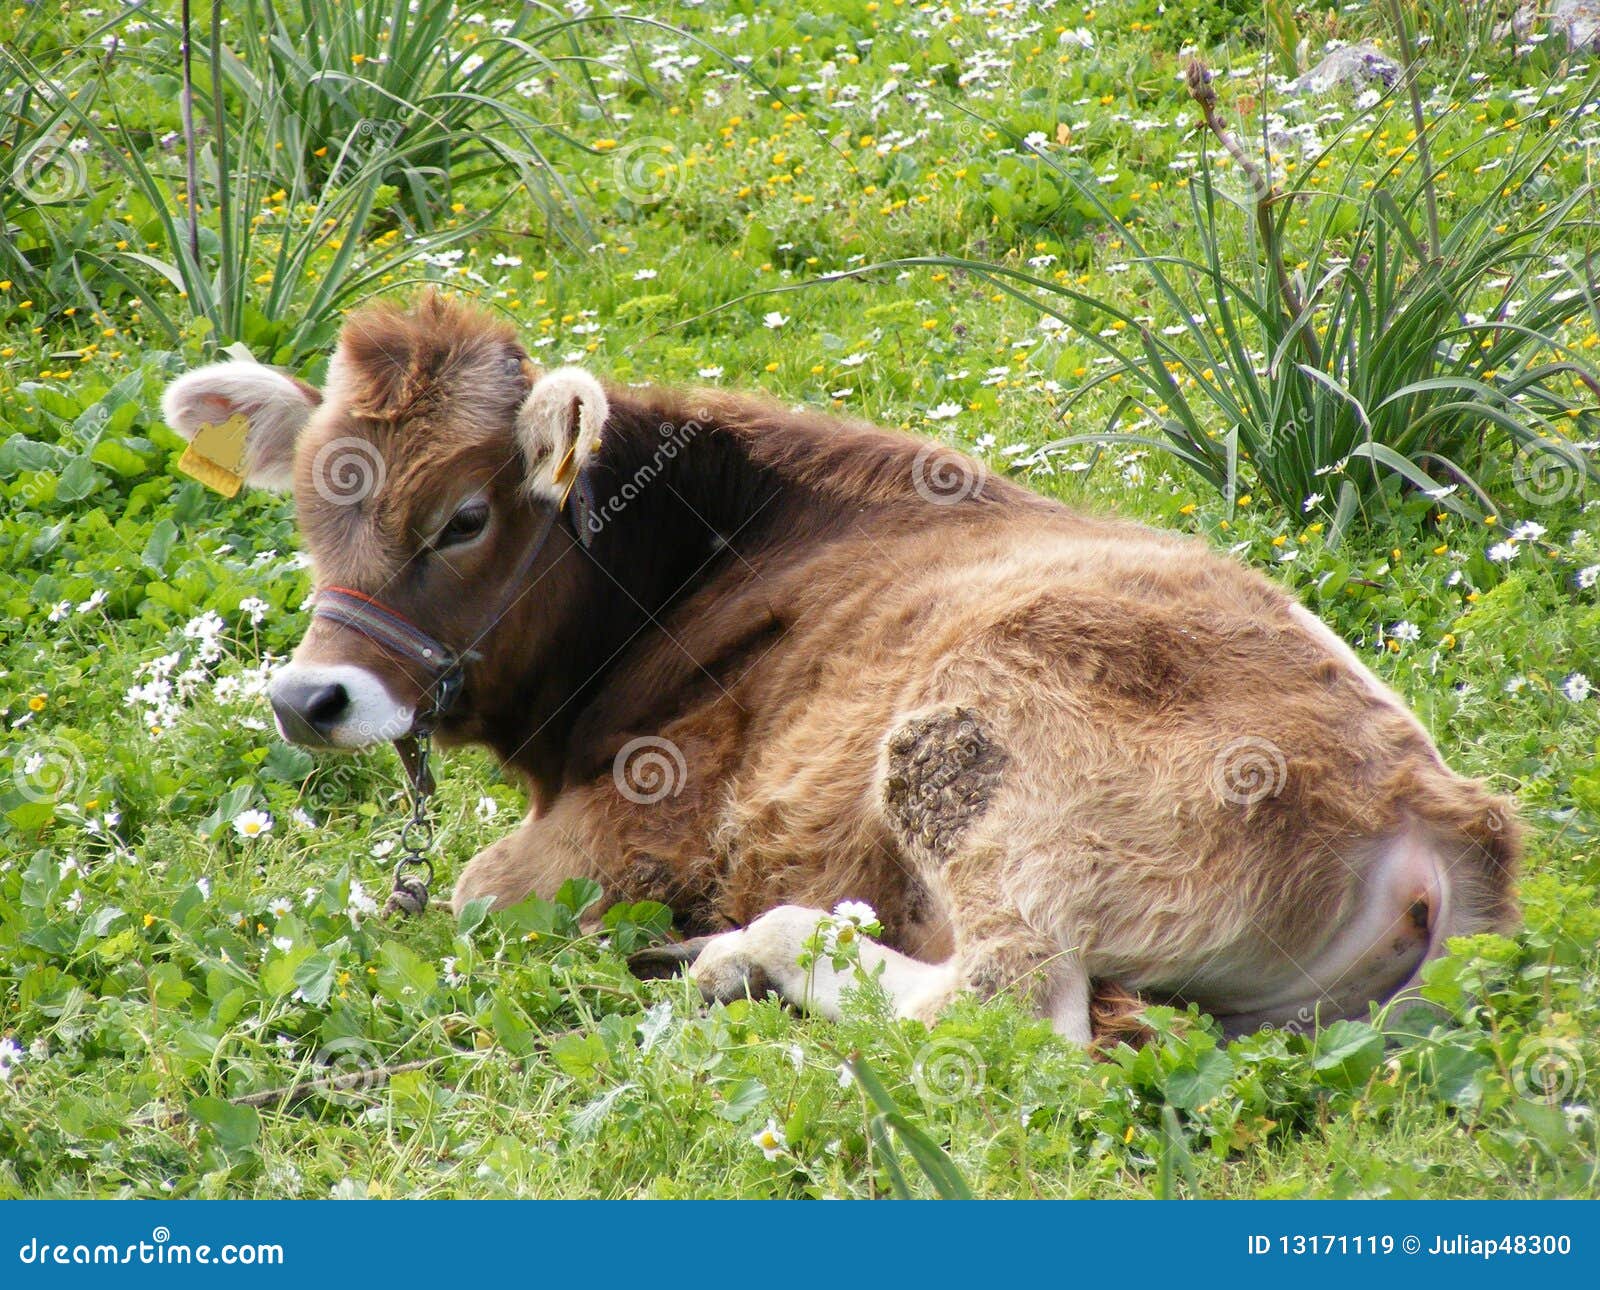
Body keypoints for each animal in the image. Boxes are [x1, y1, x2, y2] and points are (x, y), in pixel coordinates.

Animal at [160, 292, 1519, 1043]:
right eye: (309, 509)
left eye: (460, 520)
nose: (308, 699)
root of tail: (1441, 810)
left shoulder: (645, 822)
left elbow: (483, 889)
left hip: (975, 762)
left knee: (1009, 1004)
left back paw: (741, 953)